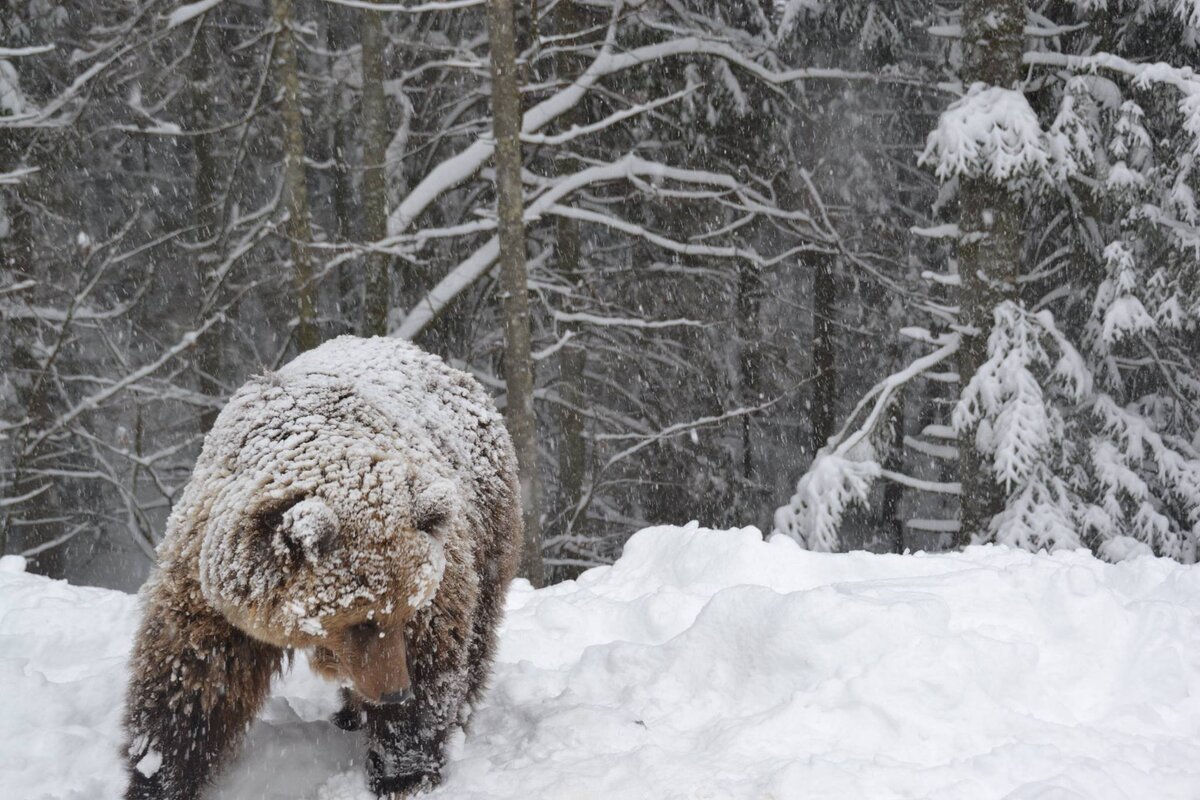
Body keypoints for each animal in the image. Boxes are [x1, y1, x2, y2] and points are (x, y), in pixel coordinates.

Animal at [121, 335, 525, 800]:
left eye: (406, 613)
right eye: (360, 620)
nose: (395, 693)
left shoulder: (440, 581)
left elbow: (434, 665)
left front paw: (403, 771)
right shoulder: (208, 580)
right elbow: (195, 677)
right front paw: (157, 773)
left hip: (490, 527)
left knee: (479, 636)